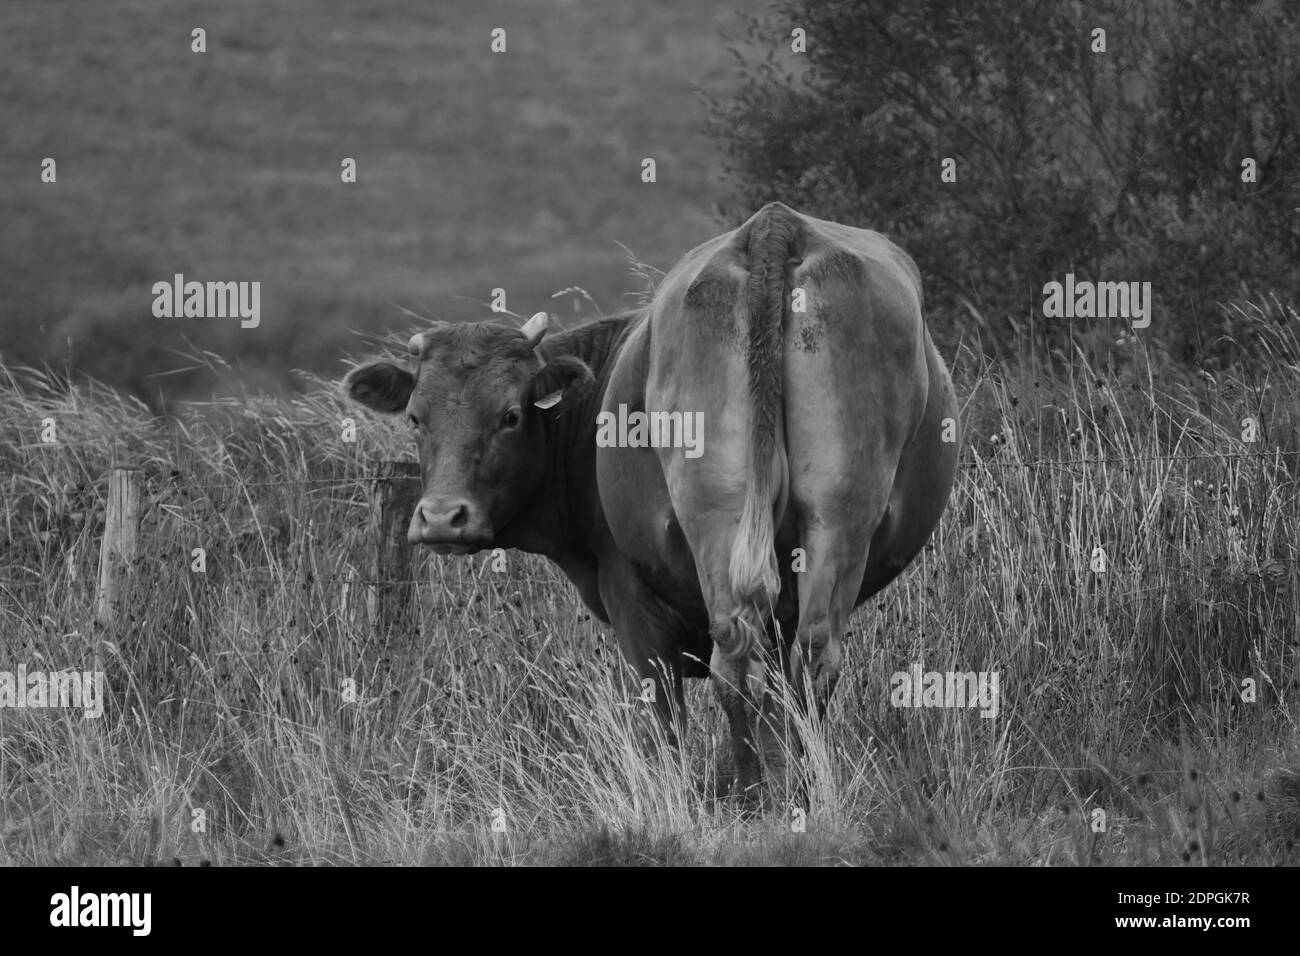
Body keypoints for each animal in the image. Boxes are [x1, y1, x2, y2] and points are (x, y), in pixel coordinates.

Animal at [344, 202, 958, 798]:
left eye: (510, 416)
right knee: (802, 655)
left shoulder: (626, 593)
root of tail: (774, 224)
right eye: (415, 417)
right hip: (829, 517)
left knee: (736, 663)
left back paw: (758, 793)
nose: (442, 518)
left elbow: (664, 716)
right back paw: (791, 792)